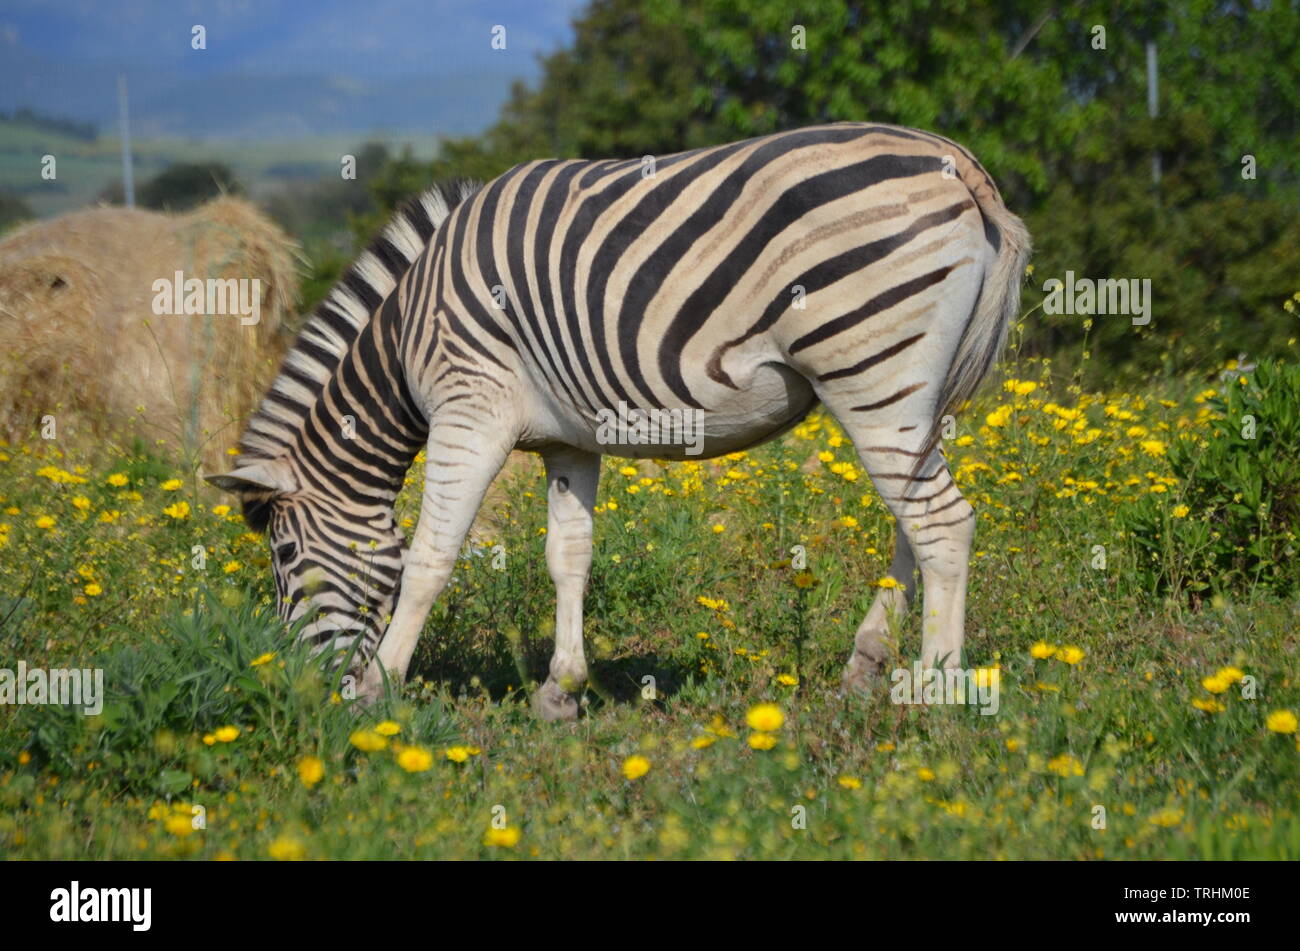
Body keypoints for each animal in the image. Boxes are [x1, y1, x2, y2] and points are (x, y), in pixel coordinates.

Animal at [207, 123, 1031, 720]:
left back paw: (933, 696)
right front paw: (560, 692)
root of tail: (961, 165)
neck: (410, 331)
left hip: (872, 369)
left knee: (943, 525)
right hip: (909, 391)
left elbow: (429, 556)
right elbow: (568, 554)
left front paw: (380, 691)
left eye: (284, 556)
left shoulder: (470, 410)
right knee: (913, 522)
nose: (300, 693)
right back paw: (866, 665)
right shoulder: (568, 439)